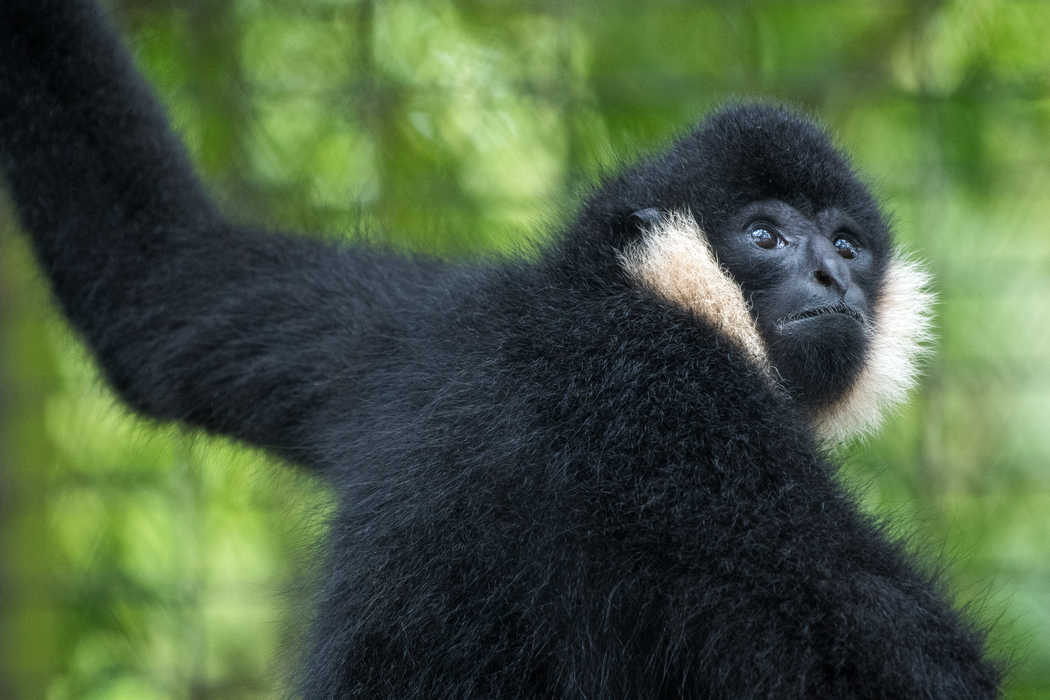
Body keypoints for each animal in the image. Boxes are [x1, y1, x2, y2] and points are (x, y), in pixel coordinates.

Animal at [0, 0, 1003, 697]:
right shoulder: (682, 414)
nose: (834, 279)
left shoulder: (431, 330)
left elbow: (160, 280)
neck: (618, 296)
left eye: (847, 244)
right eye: (765, 236)